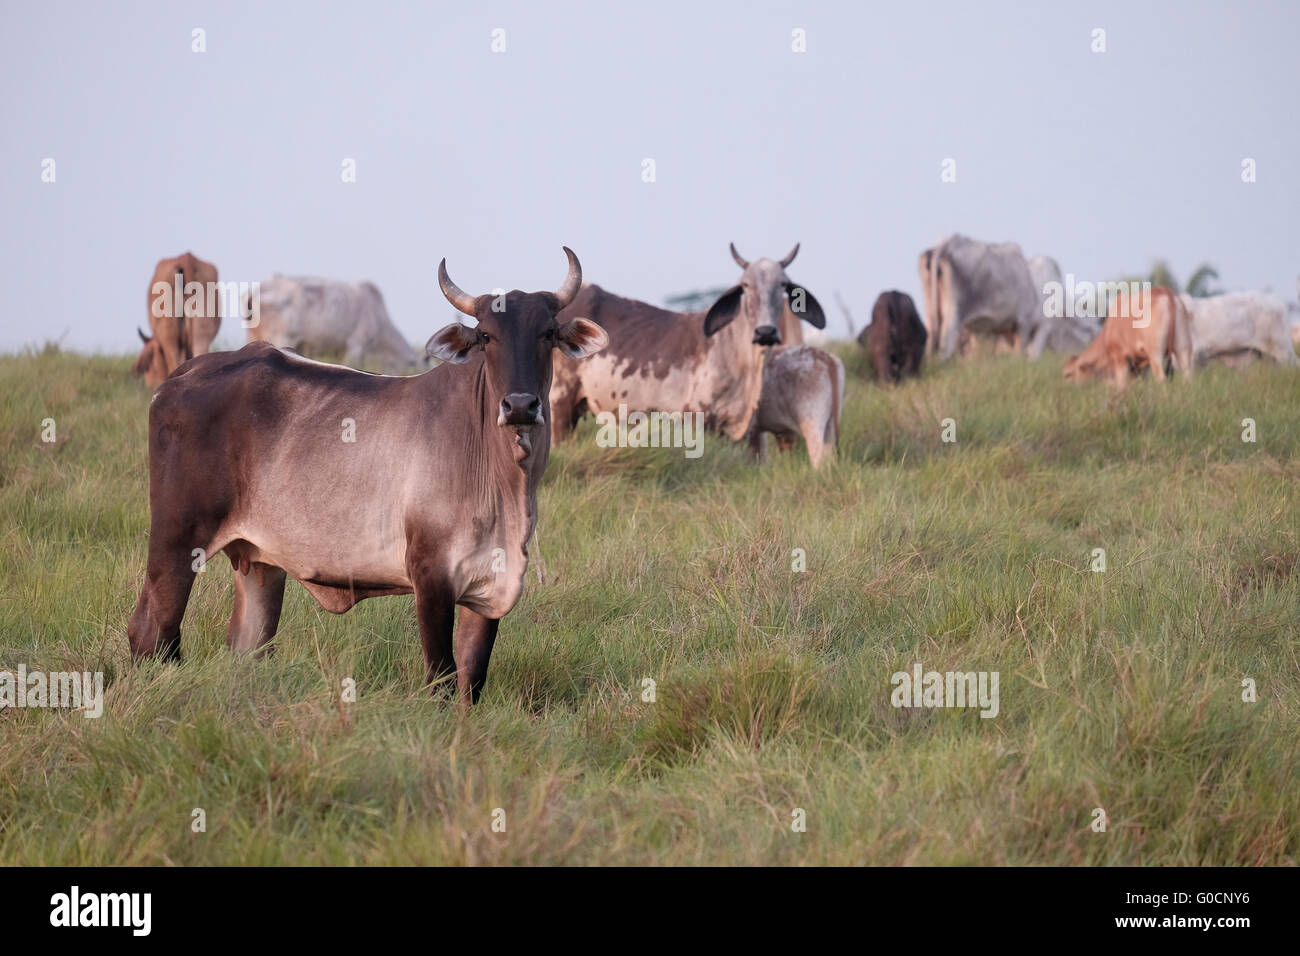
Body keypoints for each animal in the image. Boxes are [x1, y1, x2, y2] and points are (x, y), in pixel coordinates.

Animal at [1063, 286, 1193, 388]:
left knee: (1161, 379)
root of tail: (1166, 292)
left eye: (1068, 374)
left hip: (1155, 354)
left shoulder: (1120, 358)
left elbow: (1121, 385)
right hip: (1183, 350)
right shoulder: (1142, 366)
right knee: (1187, 377)